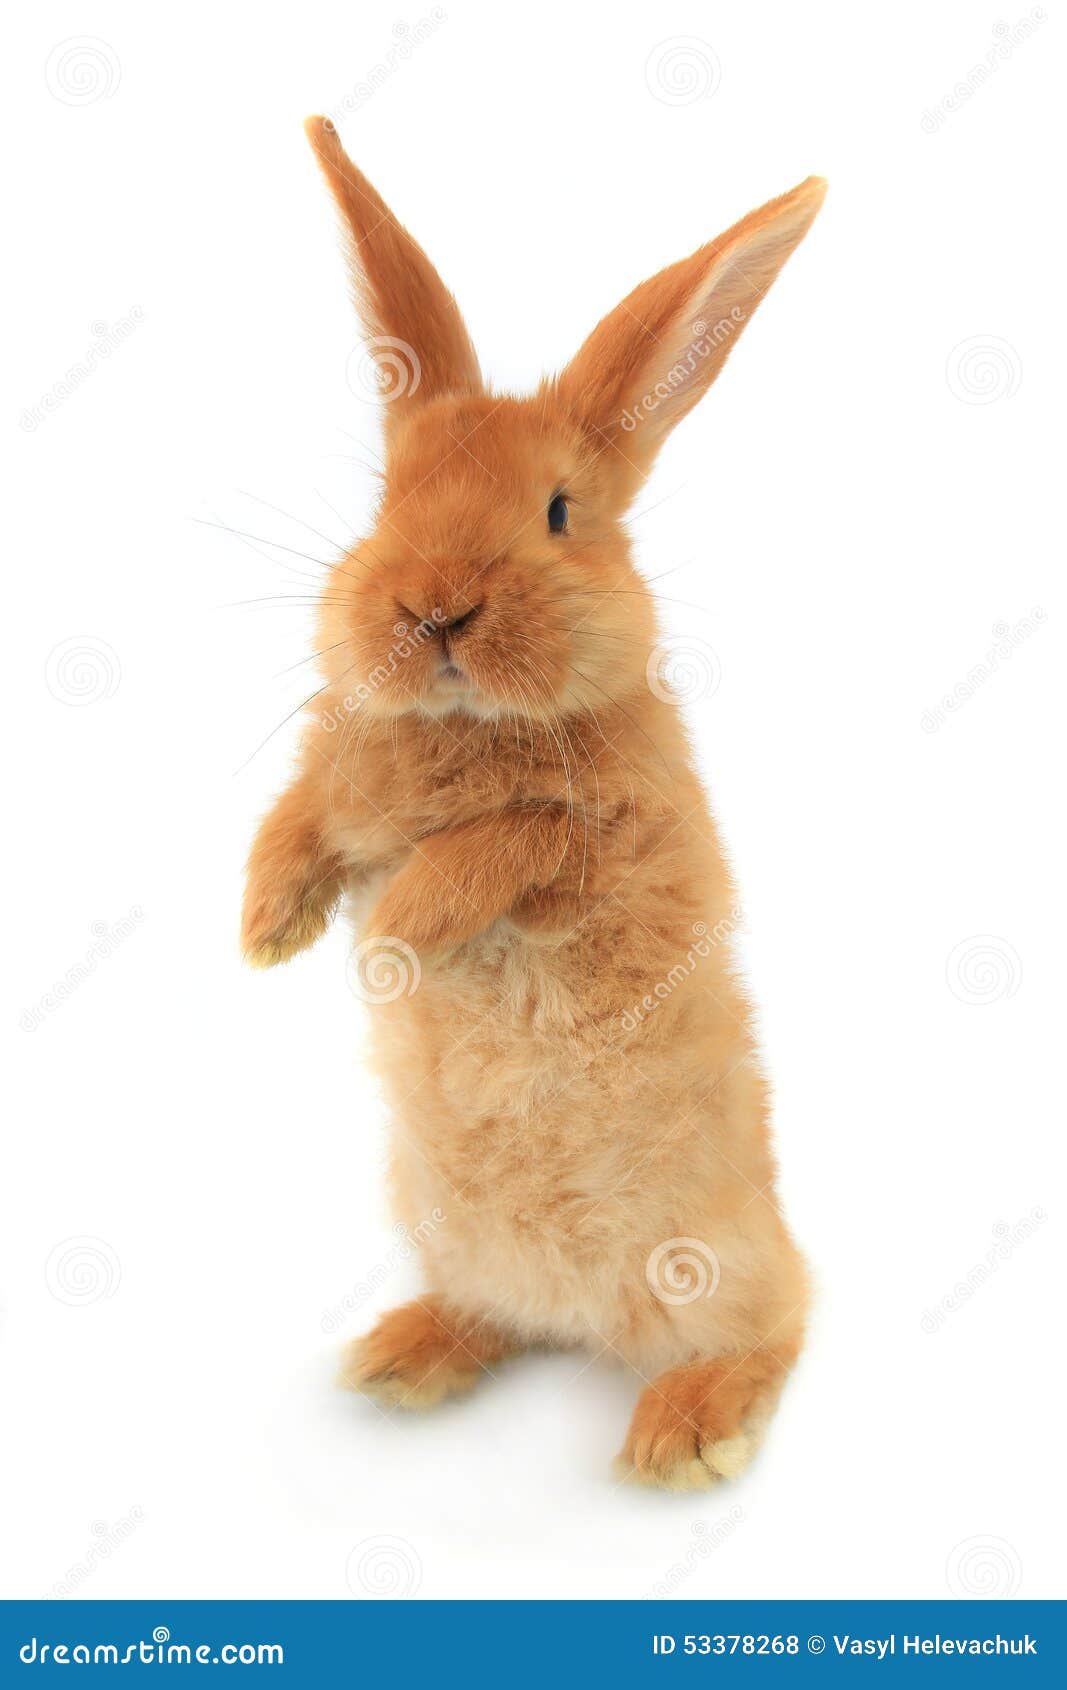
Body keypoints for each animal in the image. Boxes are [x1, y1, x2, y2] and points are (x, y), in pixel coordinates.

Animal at [241, 114, 825, 1491]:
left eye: (559, 513)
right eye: (385, 501)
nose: (433, 607)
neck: (462, 723)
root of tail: (587, 1321)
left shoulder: (606, 844)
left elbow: (508, 840)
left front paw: (396, 930)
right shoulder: (333, 786)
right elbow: (300, 819)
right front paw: (267, 928)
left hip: (721, 1259)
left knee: (780, 1324)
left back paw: (686, 1429)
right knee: (501, 1317)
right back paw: (404, 1355)